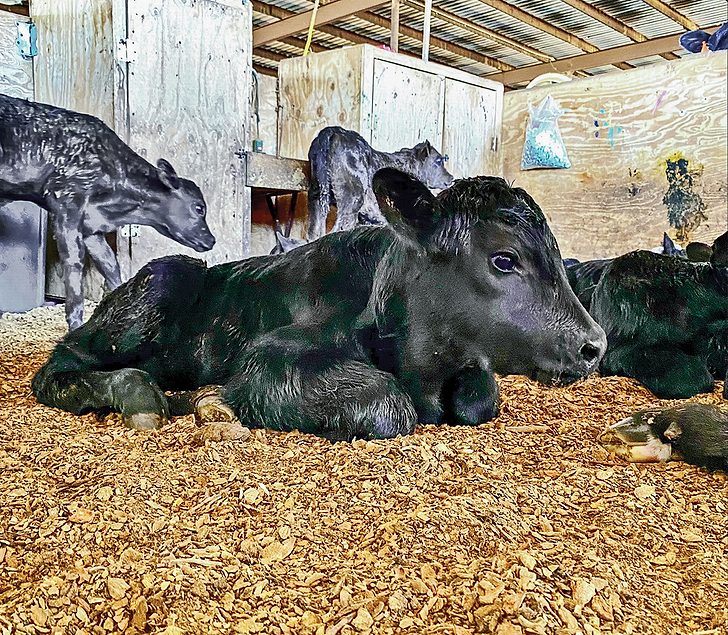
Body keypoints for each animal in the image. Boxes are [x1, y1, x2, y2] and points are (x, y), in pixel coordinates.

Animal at [0, 94, 215, 331]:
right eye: (199, 207)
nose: (211, 240)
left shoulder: (92, 229)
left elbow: (111, 267)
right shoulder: (67, 202)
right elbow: (74, 264)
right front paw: (75, 327)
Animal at [32, 169, 606, 441]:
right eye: (504, 259)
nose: (594, 345)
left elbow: (481, 397)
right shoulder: (269, 356)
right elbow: (388, 404)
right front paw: (217, 403)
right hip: (153, 288)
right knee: (59, 368)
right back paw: (139, 394)